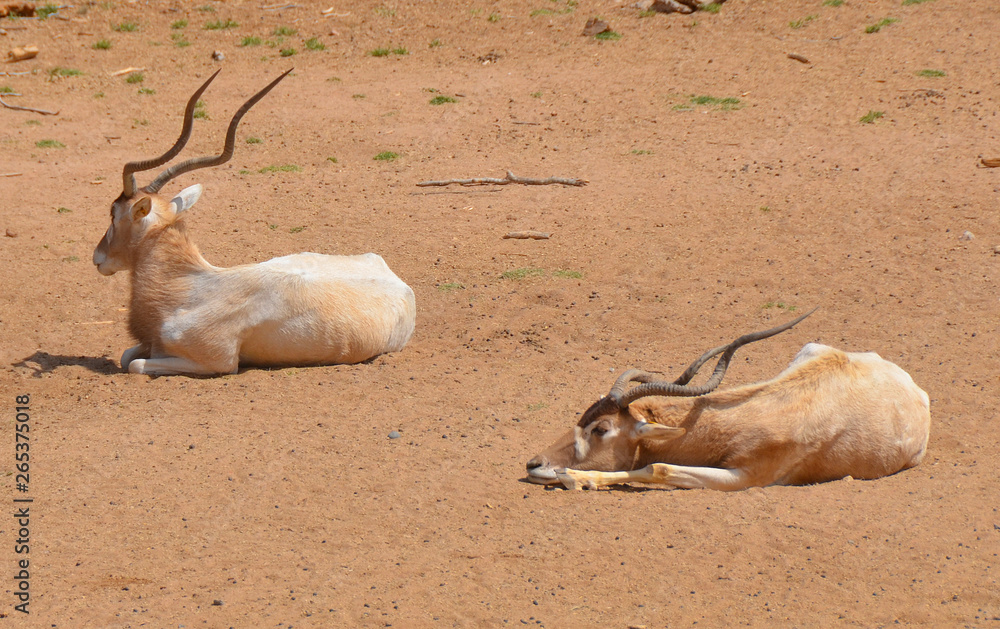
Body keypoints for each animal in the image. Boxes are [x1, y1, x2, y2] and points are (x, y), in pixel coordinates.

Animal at [92, 69, 416, 376]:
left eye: (113, 213)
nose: (98, 257)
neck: (190, 288)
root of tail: (400, 283)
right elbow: (127, 354)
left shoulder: (217, 362)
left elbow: (133, 363)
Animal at [525, 310, 930, 491]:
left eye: (601, 429)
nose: (534, 463)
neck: (750, 417)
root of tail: (917, 391)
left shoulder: (745, 478)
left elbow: (658, 467)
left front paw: (574, 477)